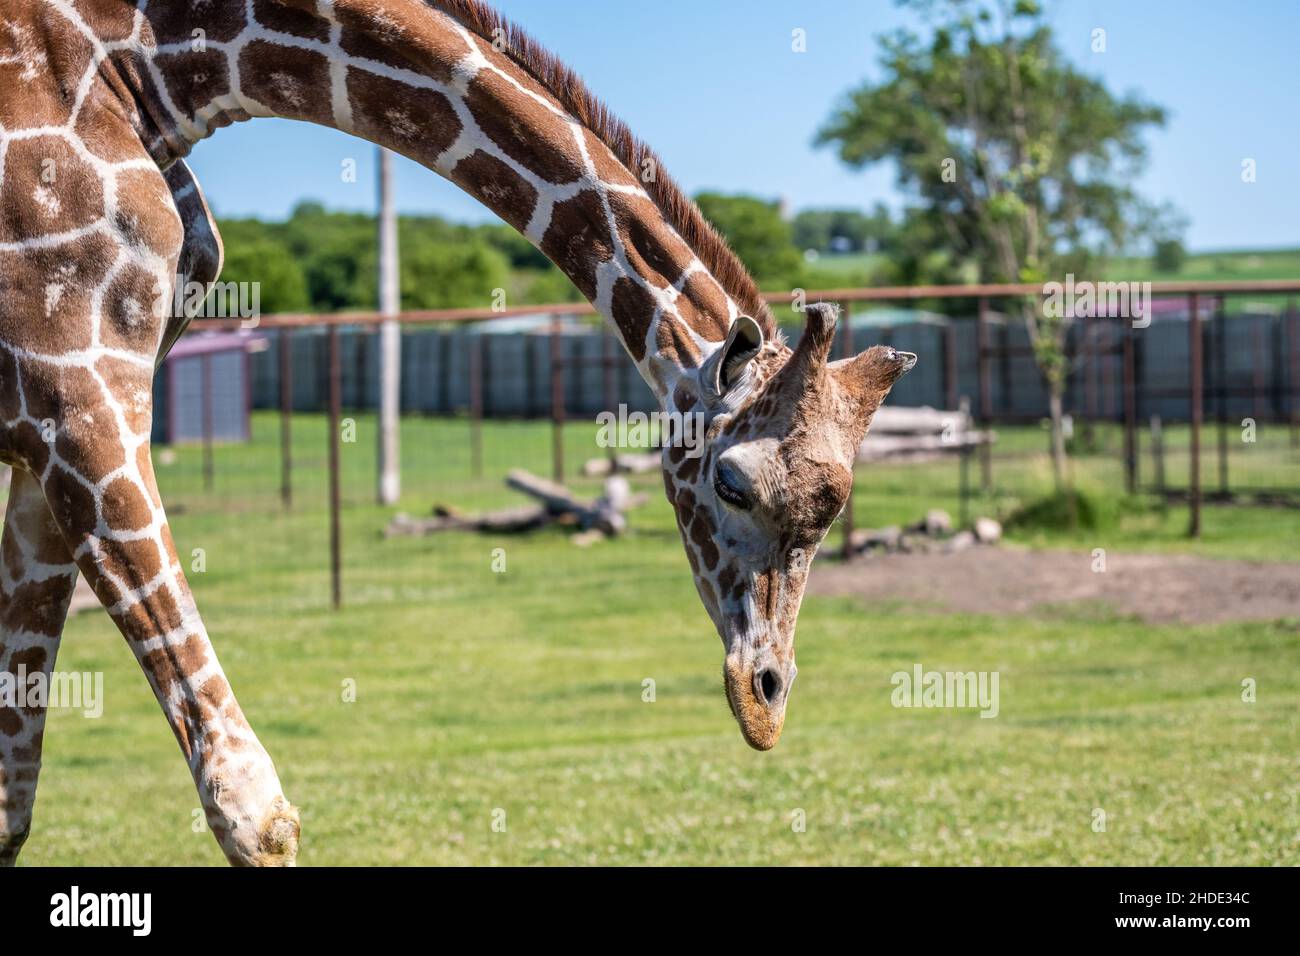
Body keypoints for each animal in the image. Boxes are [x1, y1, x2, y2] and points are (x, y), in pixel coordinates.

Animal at [0, 0, 914, 865]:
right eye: (732, 483)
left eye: (835, 510)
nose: (765, 702)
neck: (154, 63)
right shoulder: (75, 389)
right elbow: (254, 812)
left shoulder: (48, 431)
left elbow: (15, 794)